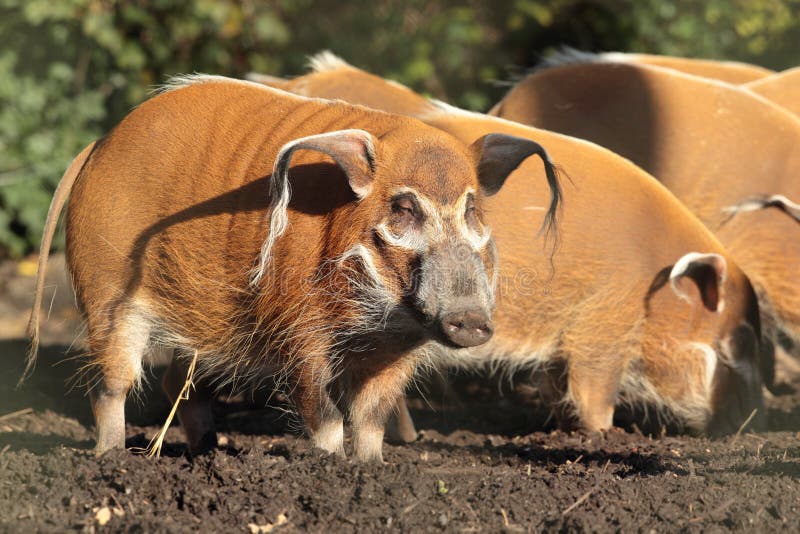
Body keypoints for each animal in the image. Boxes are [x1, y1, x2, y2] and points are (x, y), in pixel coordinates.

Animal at [24, 76, 561, 462]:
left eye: (472, 209)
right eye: (405, 208)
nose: (471, 319)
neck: (378, 317)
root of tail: (98, 144)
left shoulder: (396, 347)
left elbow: (371, 417)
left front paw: (371, 469)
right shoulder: (298, 332)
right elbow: (324, 413)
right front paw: (328, 466)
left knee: (180, 386)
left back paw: (209, 453)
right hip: (105, 296)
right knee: (110, 385)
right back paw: (112, 457)